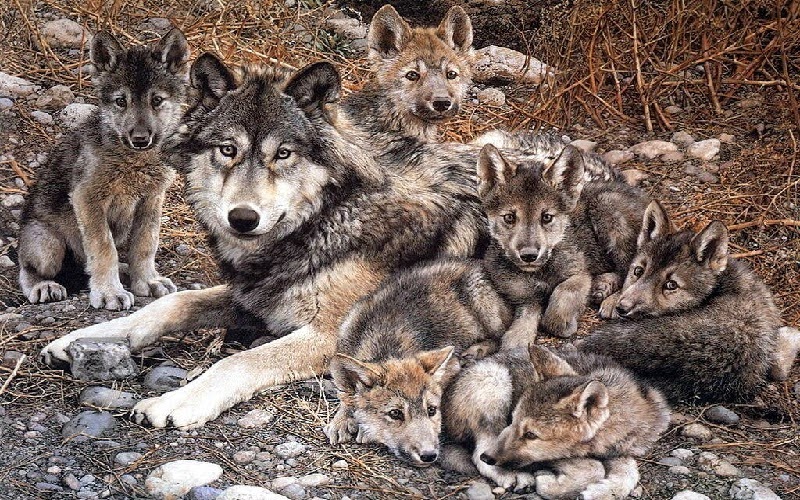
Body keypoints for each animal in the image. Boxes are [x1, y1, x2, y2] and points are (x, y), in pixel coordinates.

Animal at [18, 28, 189, 310]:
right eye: (121, 101)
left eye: (156, 100)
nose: (140, 139)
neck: (133, 162)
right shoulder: (87, 198)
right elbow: (103, 248)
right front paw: (109, 293)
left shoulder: (151, 199)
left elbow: (145, 244)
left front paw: (148, 281)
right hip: (47, 246)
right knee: (28, 269)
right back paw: (44, 286)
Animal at [39, 55, 487, 429]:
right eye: (228, 150)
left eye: (283, 154)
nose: (242, 218)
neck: (330, 215)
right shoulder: (255, 296)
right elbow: (170, 304)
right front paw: (82, 339)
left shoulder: (332, 337)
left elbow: (238, 361)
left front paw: (176, 401)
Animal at [323, 259, 511, 466]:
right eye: (395, 413)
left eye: (432, 410)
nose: (429, 455)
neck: (385, 342)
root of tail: (474, 263)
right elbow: (346, 397)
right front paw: (341, 421)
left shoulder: (451, 364)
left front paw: (364, 430)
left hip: (483, 305)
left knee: (500, 336)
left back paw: (476, 351)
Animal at [444, 345, 670, 498]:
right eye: (512, 420)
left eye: (530, 435)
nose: (488, 457)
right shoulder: (555, 456)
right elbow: (594, 468)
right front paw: (551, 486)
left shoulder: (620, 451)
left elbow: (630, 473)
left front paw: (604, 491)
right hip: (495, 382)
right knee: (476, 454)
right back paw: (512, 475)